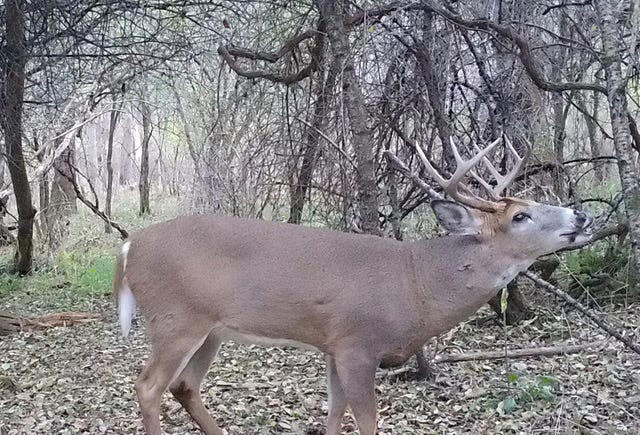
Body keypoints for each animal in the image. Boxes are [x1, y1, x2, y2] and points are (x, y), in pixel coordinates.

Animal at [113, 136, 593, 435]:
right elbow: (367, 420)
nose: (582, 216)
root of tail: (129, 244)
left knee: (184, 387)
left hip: (210, 330)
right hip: (176, 318)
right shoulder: (358, 343)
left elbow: (334, 412)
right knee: (148, 386)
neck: (417, 283)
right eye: (520, 216)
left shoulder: (333, 345)